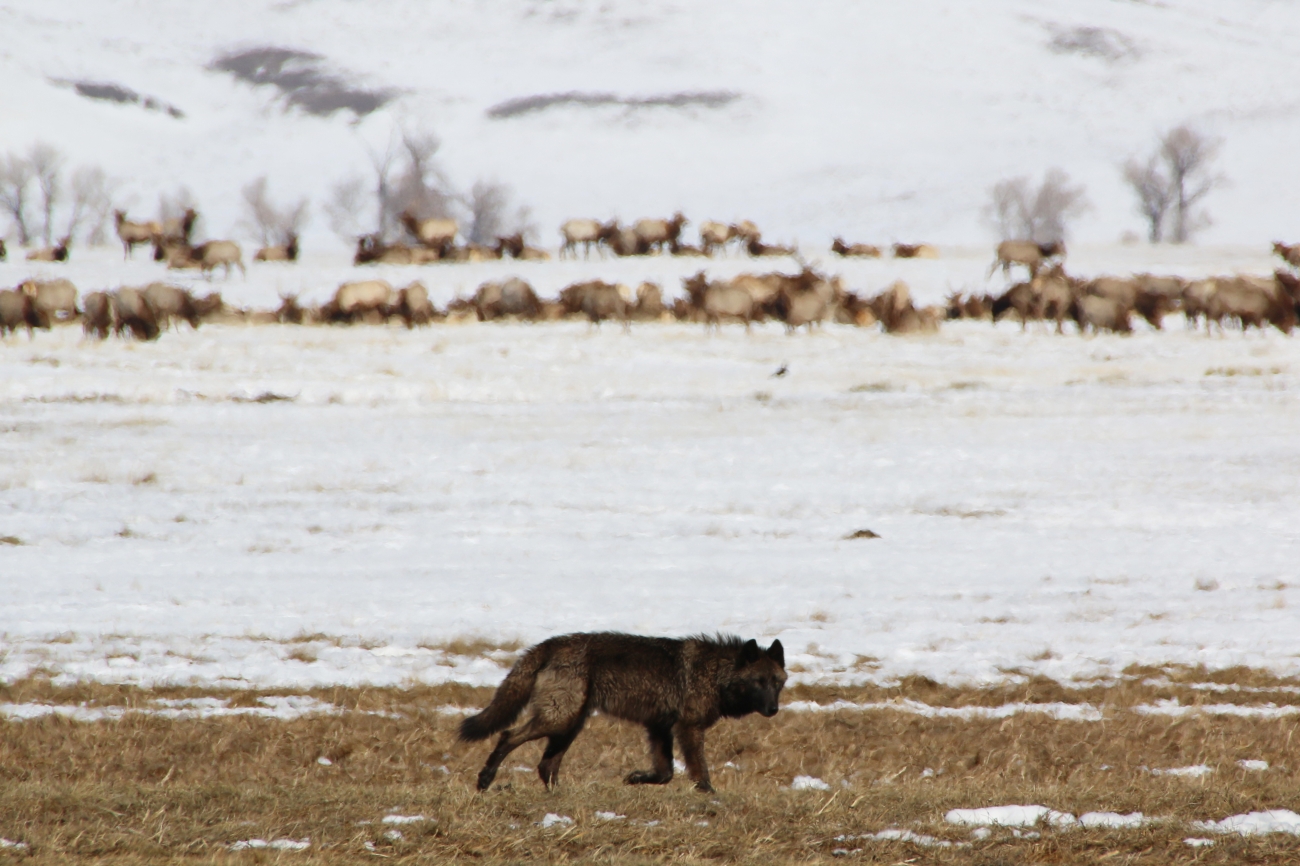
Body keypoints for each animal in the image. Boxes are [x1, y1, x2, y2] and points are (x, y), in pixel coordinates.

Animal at [459, 632, 786, 793]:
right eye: (758, 682)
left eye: (777, 683)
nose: (774, 709)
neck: (717, 674)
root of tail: (548, 644)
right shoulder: (687, 728)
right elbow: (698, 770)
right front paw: (710, 797)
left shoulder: (659, 728)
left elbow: (665, 773)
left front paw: (636, 779)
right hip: (559, 720)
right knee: (508, 736)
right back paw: (485, 780)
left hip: (570, 725)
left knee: (546, 765)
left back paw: (562, 798)